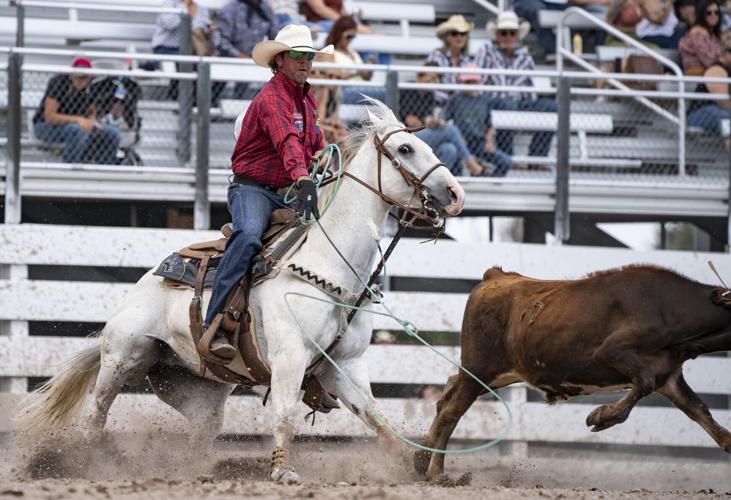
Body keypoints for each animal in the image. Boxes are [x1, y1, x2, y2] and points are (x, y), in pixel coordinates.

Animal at [415, 265, 731, 481]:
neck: (669, 308)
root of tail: (496, 277)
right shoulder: (611, 352)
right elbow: (643, 382)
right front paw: (601, 417)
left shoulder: (670, 377)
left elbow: (700, 411)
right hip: (478, 367)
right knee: (451, 410)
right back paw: (436, 472)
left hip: (494, 374)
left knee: (447, 394)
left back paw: (421, 458)